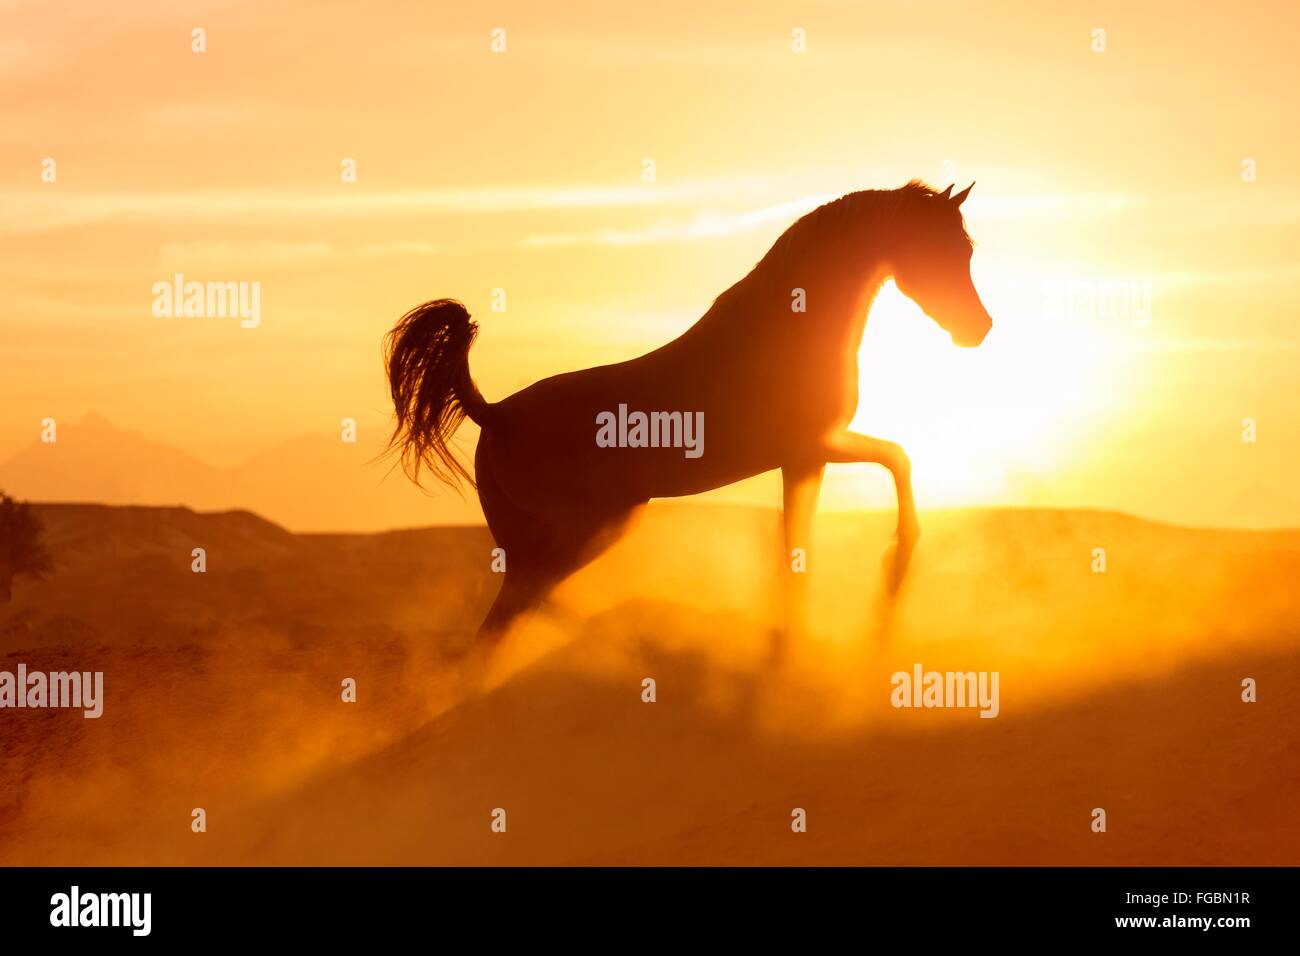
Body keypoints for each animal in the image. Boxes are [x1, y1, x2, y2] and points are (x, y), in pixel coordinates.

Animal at [384, 180, 992, 653]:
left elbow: (800, 546)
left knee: (512, 615)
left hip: (562, 534)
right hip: (582, 532)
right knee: (520, 607)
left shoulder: (808, 459)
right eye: (937, 249)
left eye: (964, 251)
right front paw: (897, 563)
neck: (790, 329)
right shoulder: (815, 447)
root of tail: (494, 415)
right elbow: (897, 459)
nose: (978, 329)